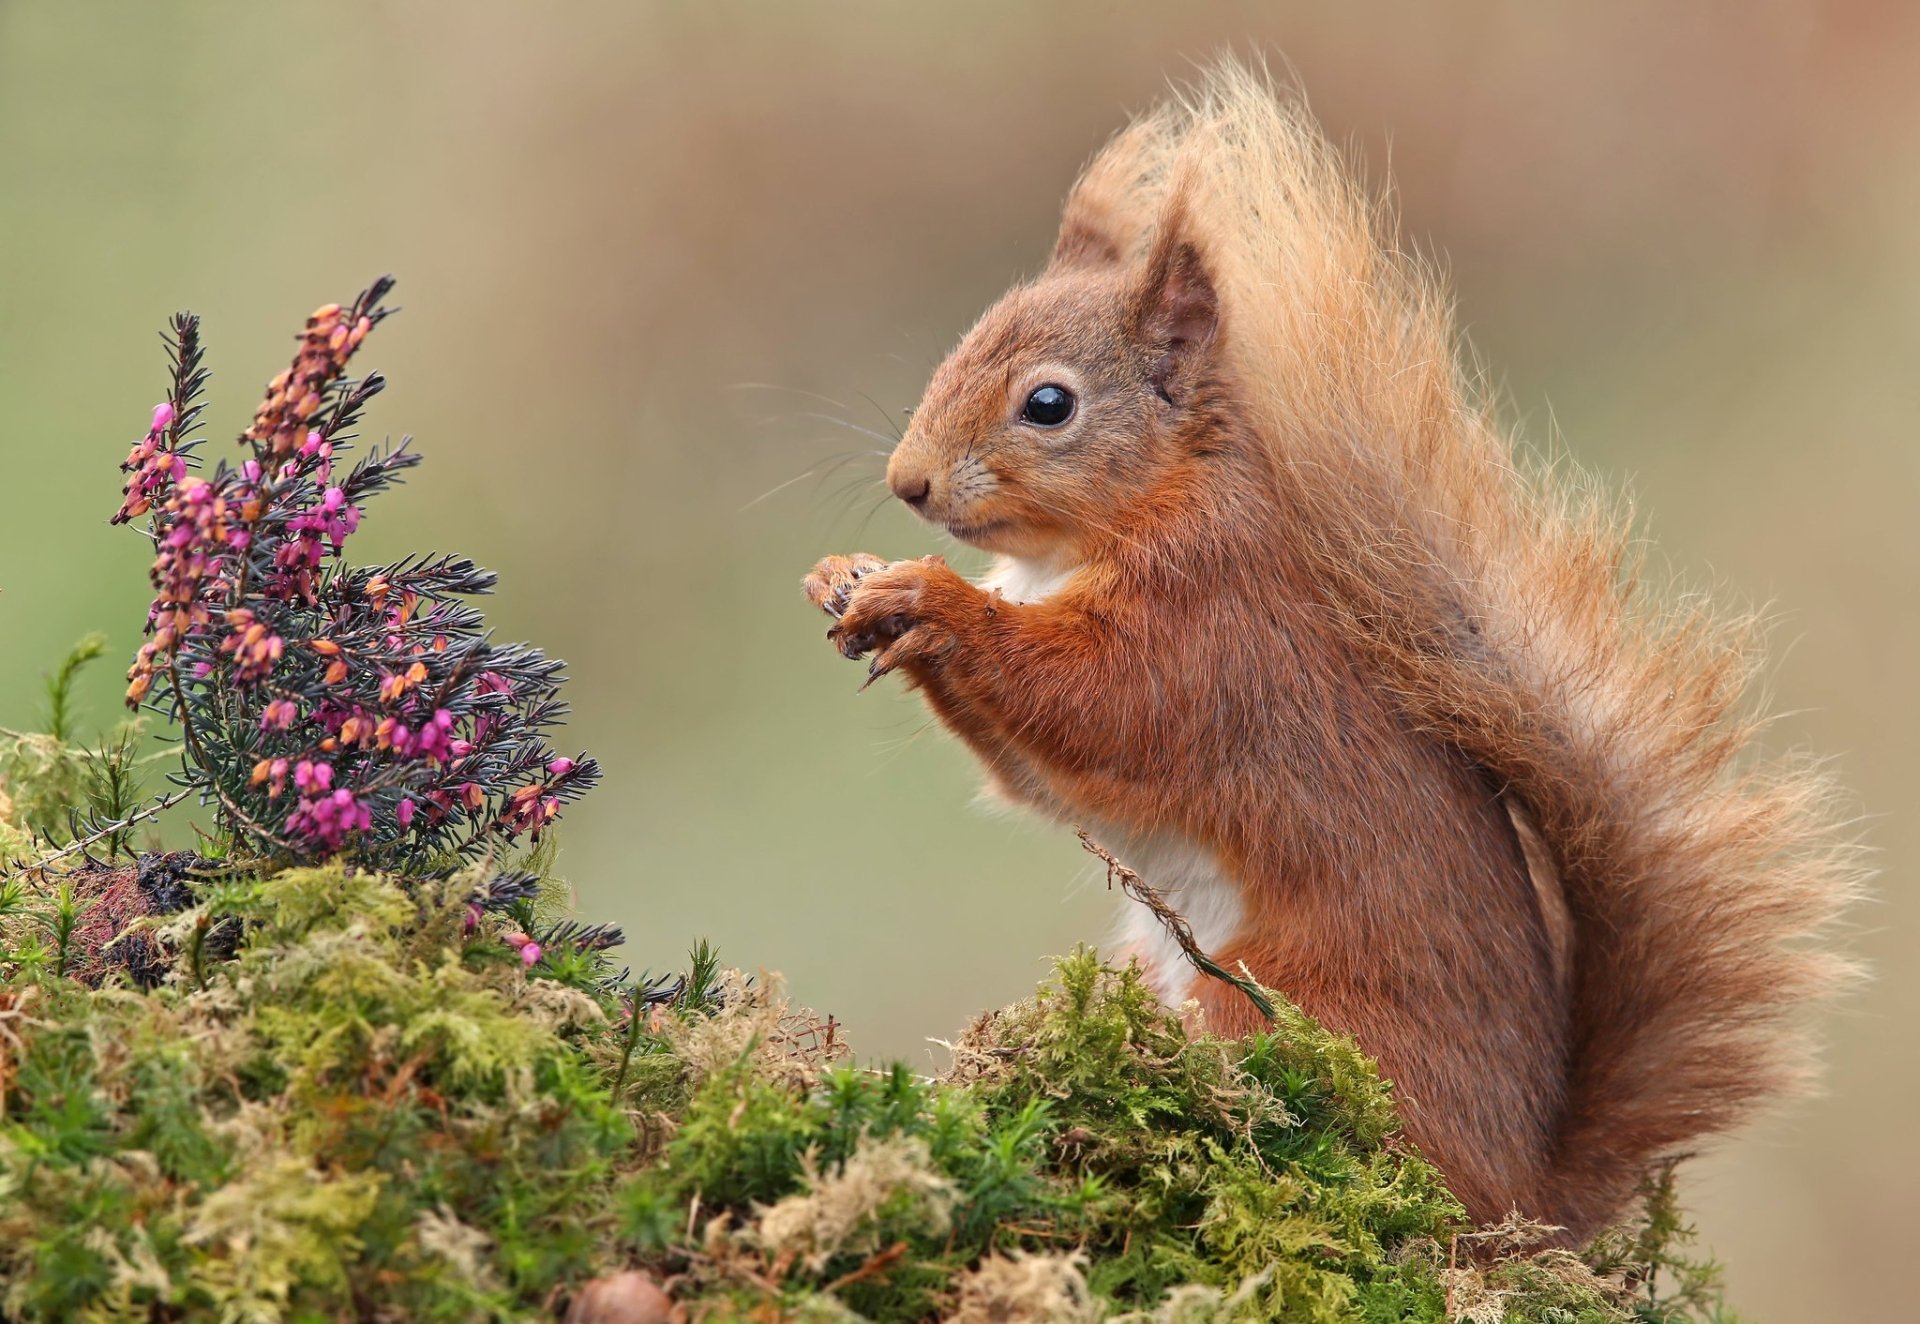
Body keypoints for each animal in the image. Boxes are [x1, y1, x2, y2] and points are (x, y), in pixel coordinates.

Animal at [801, 60, 1858, 1242]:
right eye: (964, 339)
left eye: (1048, 403)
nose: (908, 483)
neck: (1115, 525)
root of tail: (1521, 1197)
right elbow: (1031, 768)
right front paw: (844, 577)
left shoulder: (1210, 627)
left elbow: (1093, 701)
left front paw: (931, 600)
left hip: (1268, 1001)